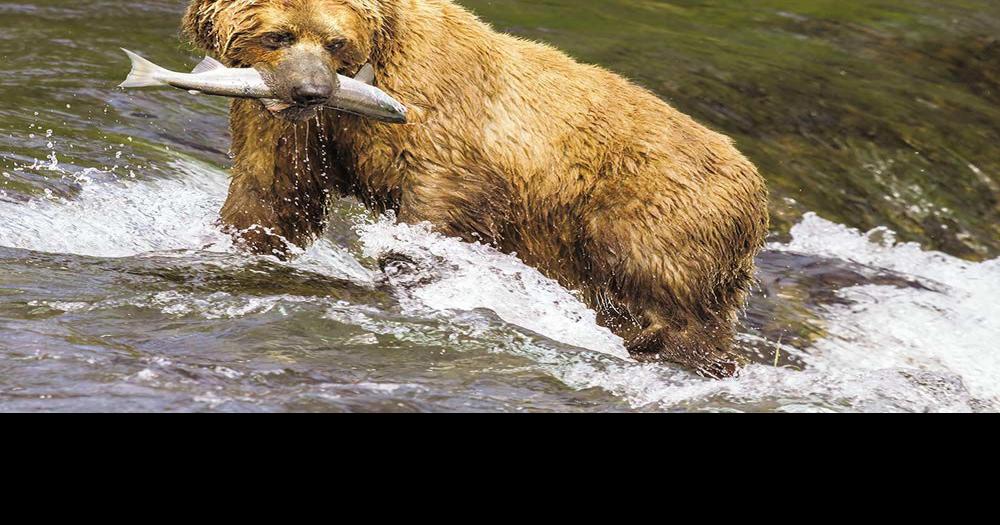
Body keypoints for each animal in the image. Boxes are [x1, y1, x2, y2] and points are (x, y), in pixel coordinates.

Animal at [182, 0, 769, 378]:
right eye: (278, 35)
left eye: (335, 40)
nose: (311, 90)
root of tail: (757, 189)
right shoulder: (290, 127)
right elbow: (270, 195)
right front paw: (228, 246)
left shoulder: (438, 112)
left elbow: (437, 198)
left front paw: (412, 268)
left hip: (654, 213)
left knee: (673, 303)